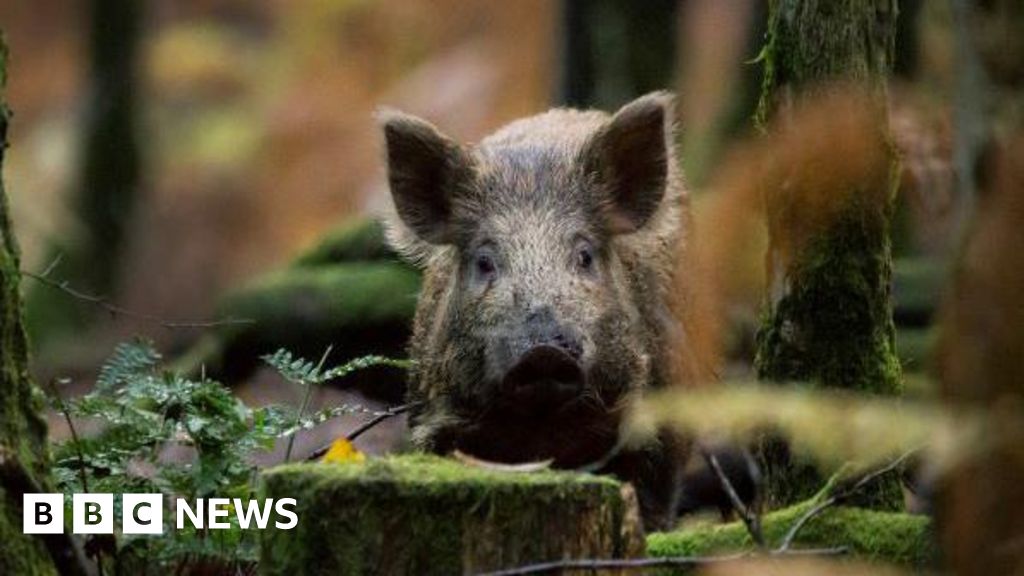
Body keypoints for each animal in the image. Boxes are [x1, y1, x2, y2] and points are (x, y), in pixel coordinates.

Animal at [379, 92, 693, 530]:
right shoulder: (436, 424)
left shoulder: (658, 429)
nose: (544, 350)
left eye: (584, 256)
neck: (544, 431)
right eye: (485, 261)